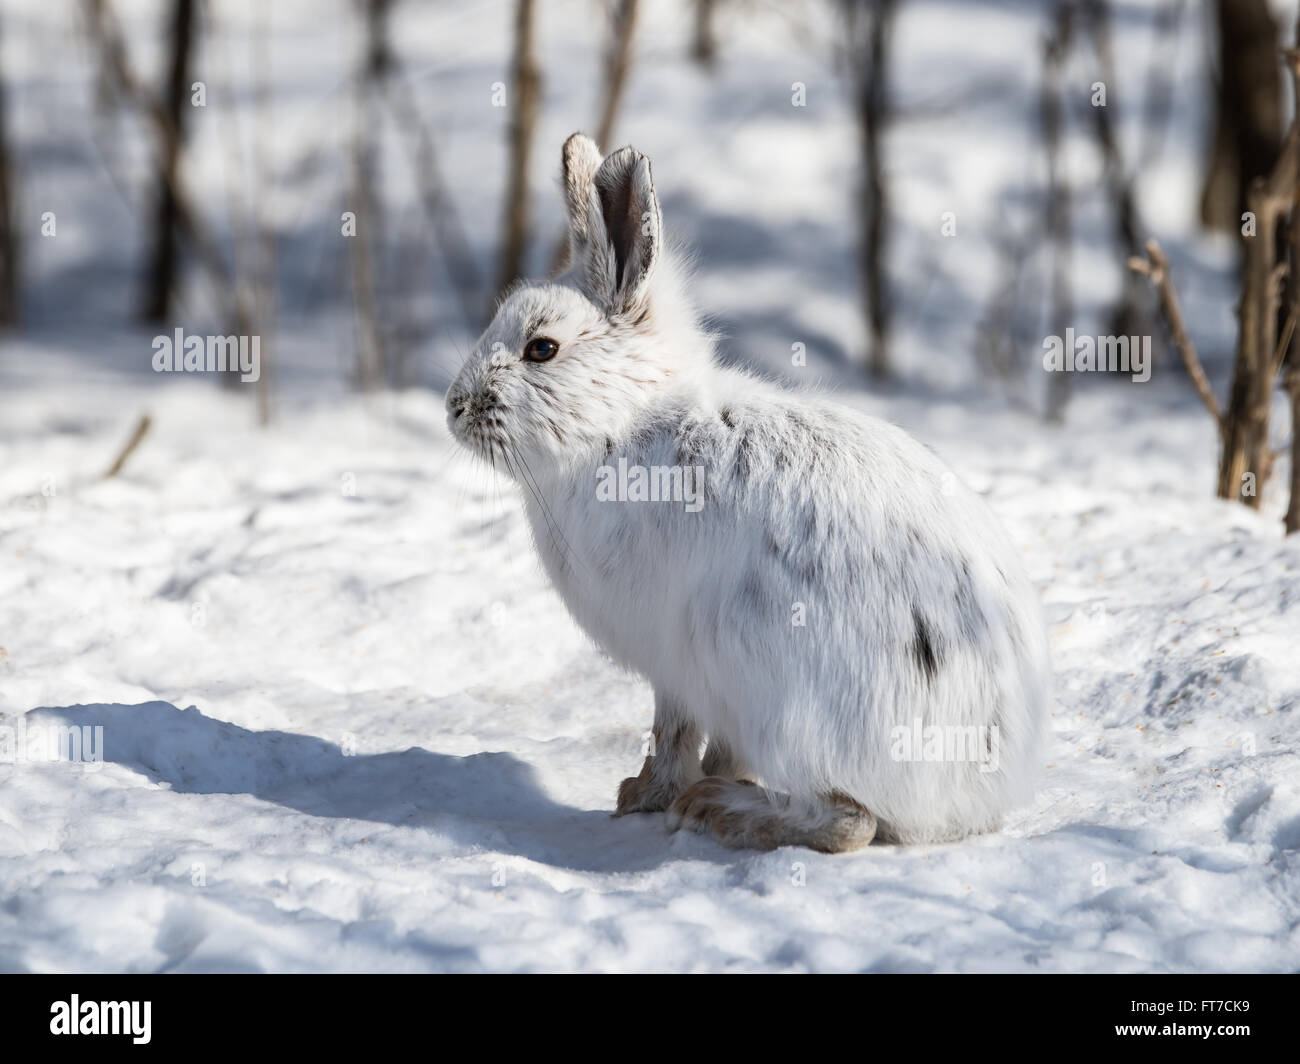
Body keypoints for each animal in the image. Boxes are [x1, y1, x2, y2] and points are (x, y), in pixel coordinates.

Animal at [445, 132, 1052, 851]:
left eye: (541, 348)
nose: (453, 407)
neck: (623, 425)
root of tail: (970, 790)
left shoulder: (673, 665)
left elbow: (673, 735)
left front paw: (645, 797)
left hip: (777, 700)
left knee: (849, 822)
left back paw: (719, 810)